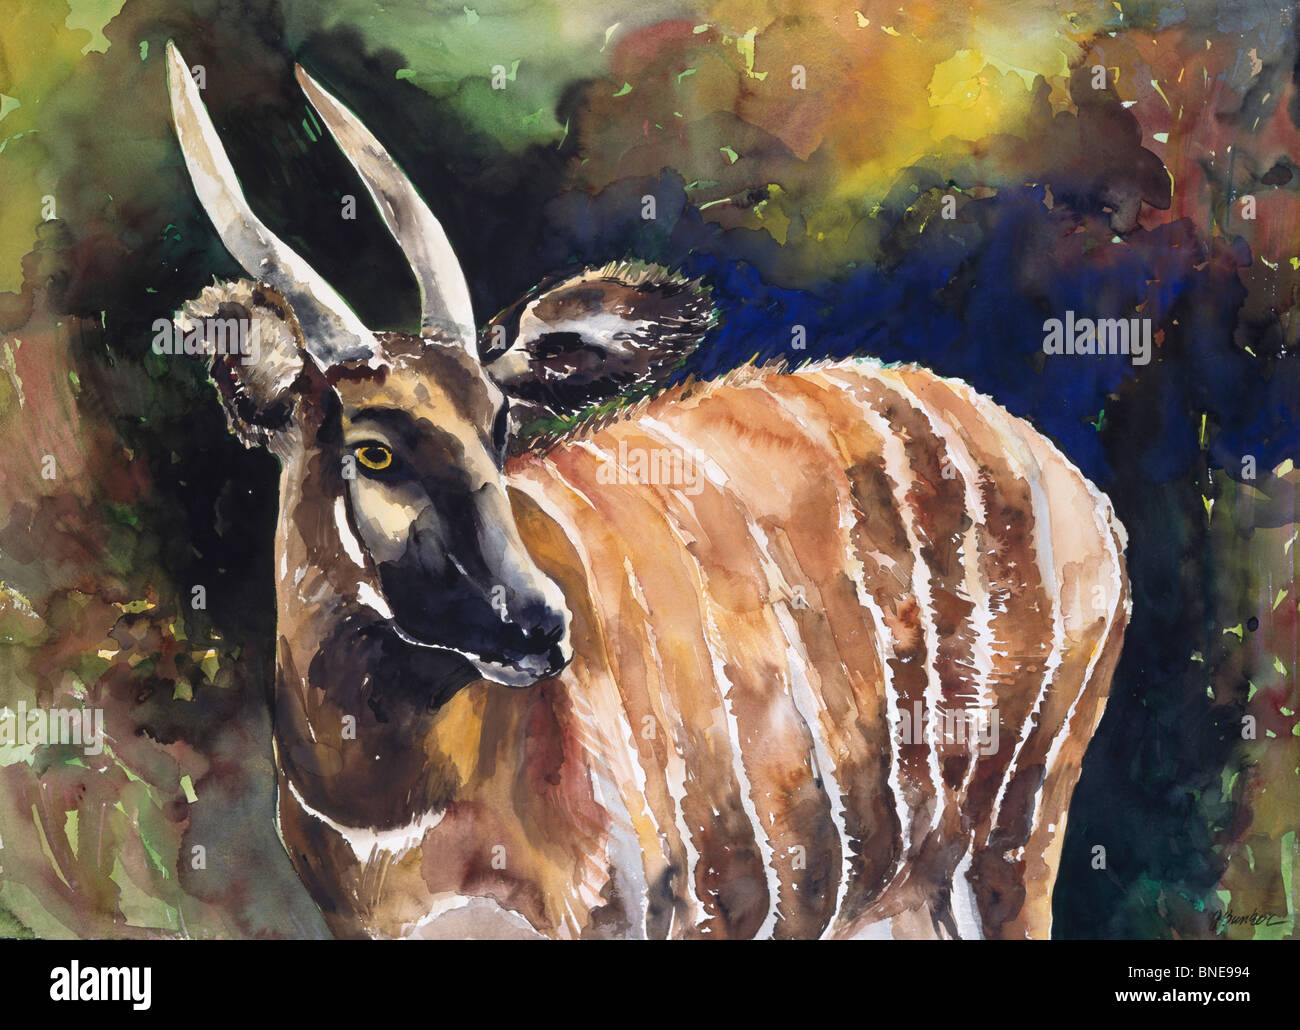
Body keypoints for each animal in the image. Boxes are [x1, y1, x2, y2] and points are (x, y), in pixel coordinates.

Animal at [164, 42, 1130, 940]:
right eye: (371, 450)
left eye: (499, 426)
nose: (537, 625)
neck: (389, 816)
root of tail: (1081, 491)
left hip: (1008, 844)